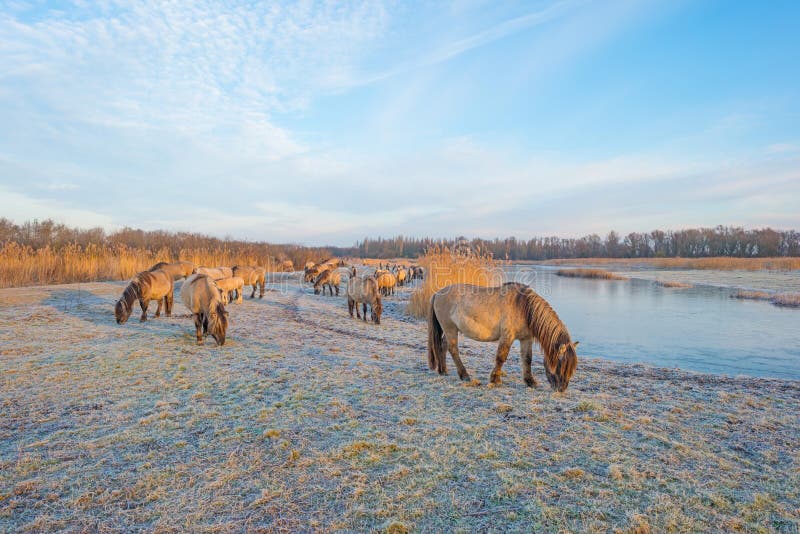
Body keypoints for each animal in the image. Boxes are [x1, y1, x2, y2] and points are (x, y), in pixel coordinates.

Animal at [427, 282, 579, 392]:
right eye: (560, 364)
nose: (562, 388)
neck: (523, 307)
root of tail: (437, 294)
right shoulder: (507, 336)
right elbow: (501, 357)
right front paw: (495, 380)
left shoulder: (526, 339)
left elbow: (527, 359)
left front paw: (530, 382)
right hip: (450, 329)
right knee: (453, 349)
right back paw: (464, 375)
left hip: (450, 330)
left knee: (443, 346)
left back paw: (443, 371)